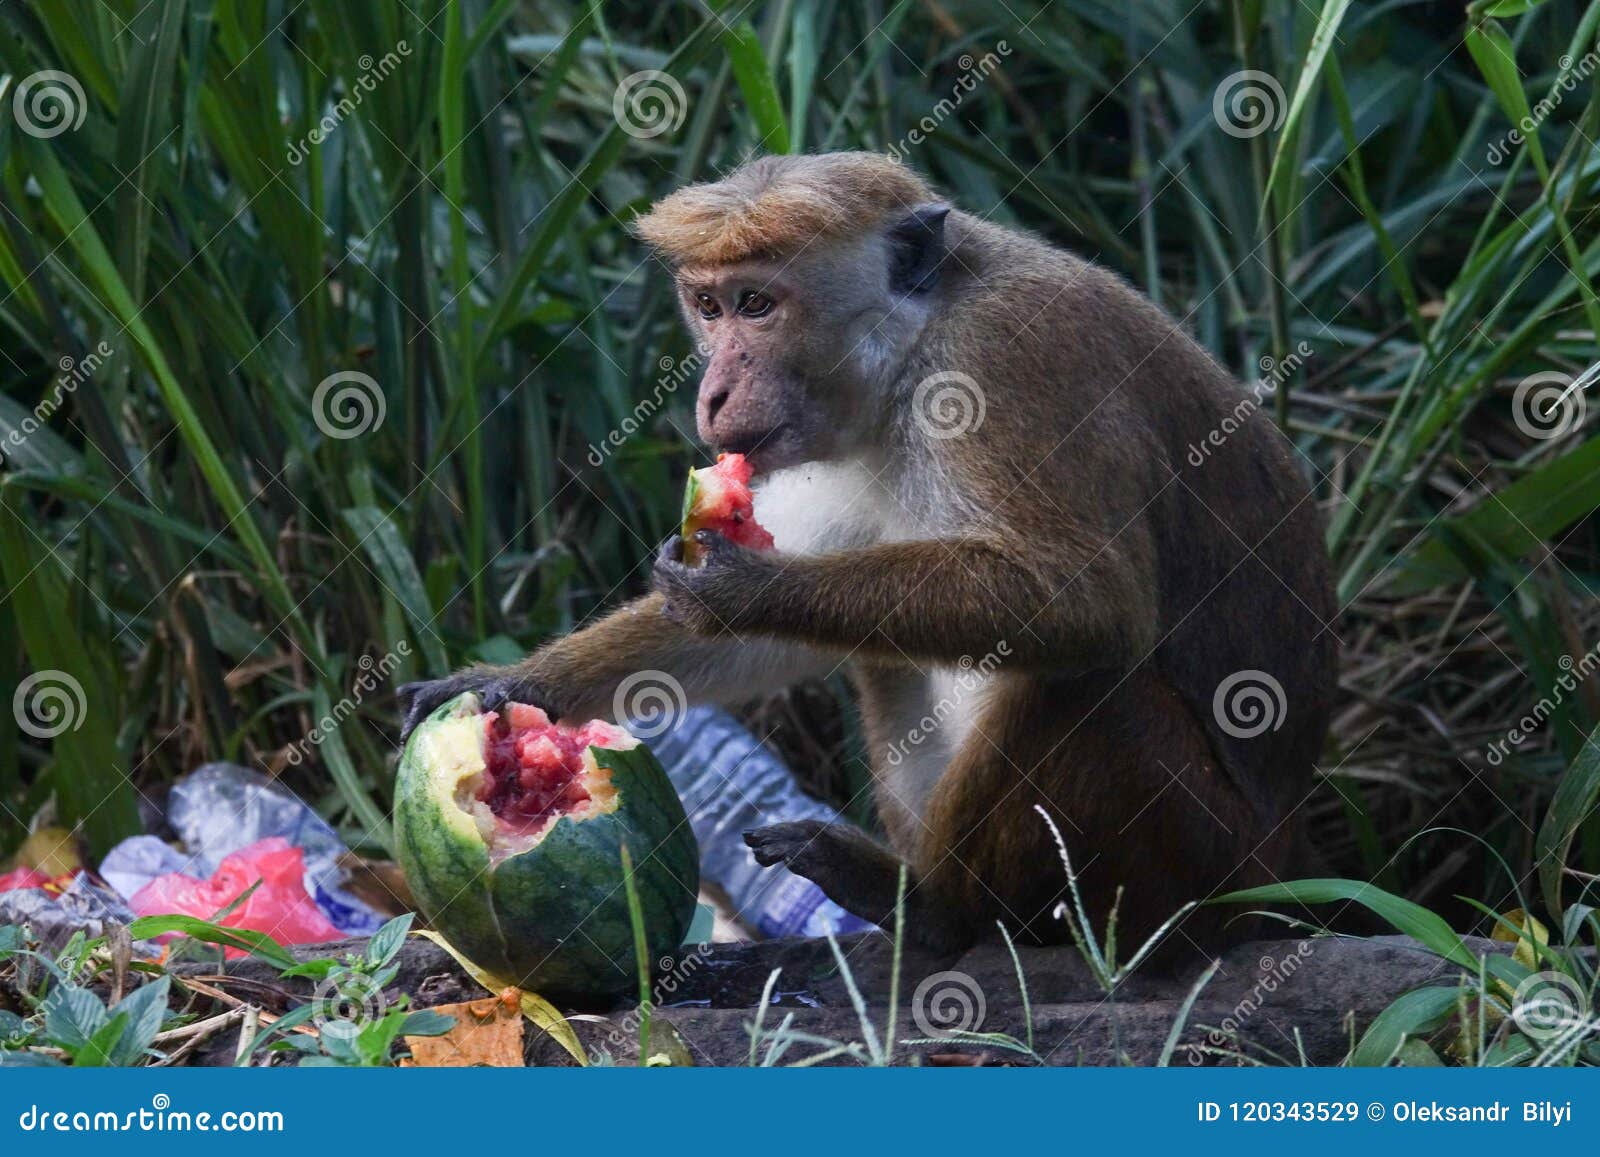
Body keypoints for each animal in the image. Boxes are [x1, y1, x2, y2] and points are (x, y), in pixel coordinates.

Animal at [400, 151, 1337, 964]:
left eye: (757, 304)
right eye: (708, 306)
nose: (713, 390)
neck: (911, 353)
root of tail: (1276, 881)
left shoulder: (1009, 358)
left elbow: (1088, 601)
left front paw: (739, 588)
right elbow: (759, 643)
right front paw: (507, 687)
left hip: (1204, 868)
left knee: (1086, 683)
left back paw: (939, 911)